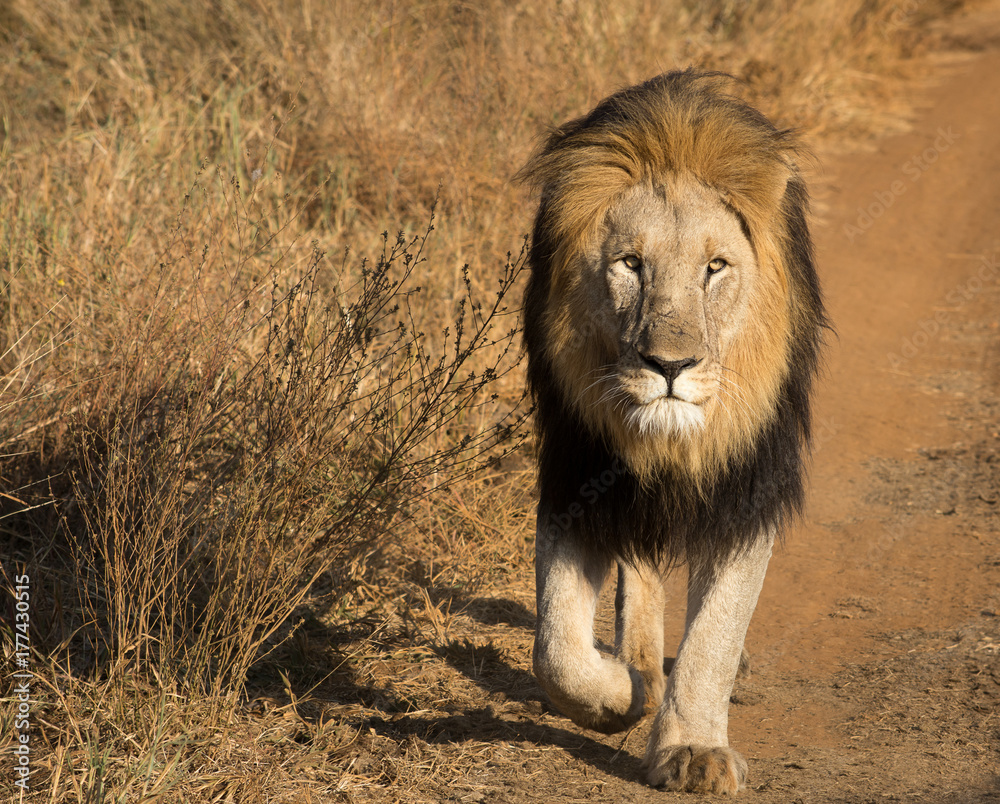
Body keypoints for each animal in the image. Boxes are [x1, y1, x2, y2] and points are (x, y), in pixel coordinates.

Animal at [517, 70, 827, 794]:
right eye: (631, 263)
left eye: (716, 267)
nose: (670, 365)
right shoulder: (577, 475)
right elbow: (556, 650)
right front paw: (618, 695)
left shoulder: (747, 490)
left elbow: (715, 633)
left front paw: (693, 748)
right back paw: (639, 665)